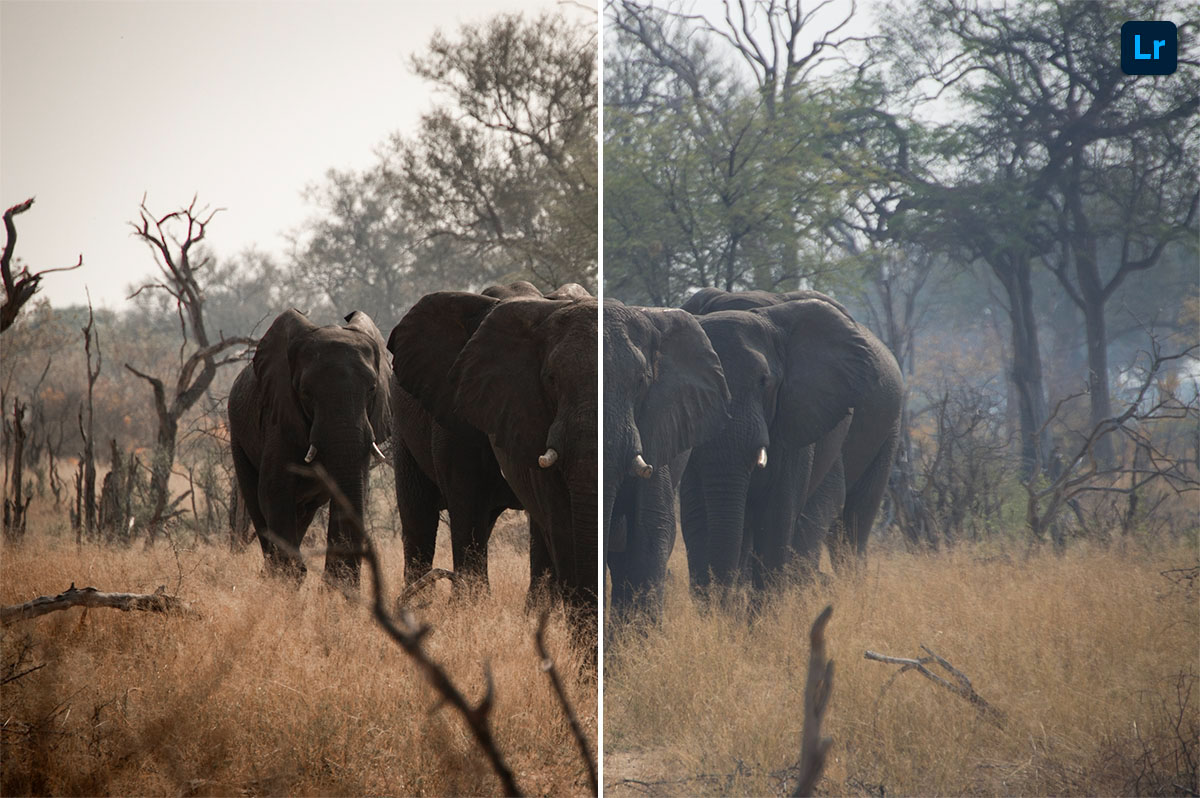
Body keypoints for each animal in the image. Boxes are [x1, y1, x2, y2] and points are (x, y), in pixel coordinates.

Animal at [228, 309, 392, 587]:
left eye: (372, 389)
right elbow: (274, 488)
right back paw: (270, 574)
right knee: (256, 501)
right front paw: (287, 581)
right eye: (305, 392)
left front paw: (340, 587)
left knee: (303, 512)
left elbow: (353, 491)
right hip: (237, 435)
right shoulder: (279, 416)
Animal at [678, 289, 902, 591]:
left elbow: (778, 512)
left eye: (764, 382)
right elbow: (696, 511)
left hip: (888, 427)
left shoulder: (796, 417)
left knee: (854, 523)